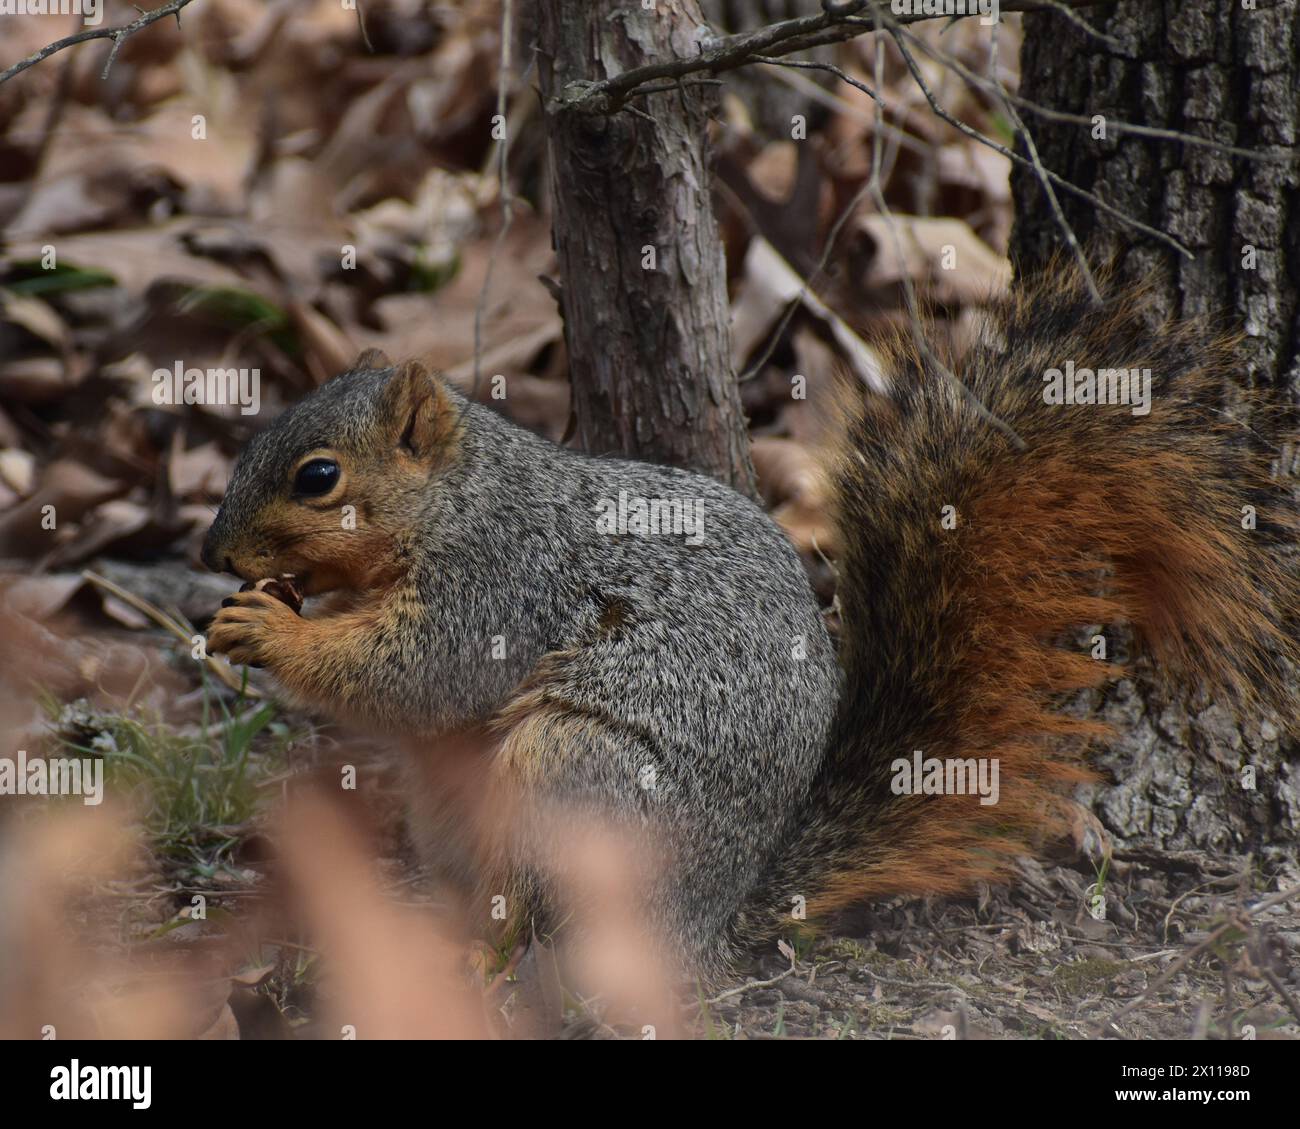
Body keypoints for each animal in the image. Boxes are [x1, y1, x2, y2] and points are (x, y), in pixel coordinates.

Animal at [202, 268, 1298, 980]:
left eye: (318, 476)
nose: (213, 551)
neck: (460, 497)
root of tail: (721, 907)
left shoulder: (499, 582)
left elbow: (419, 671)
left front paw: (271, 632)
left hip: (579, 773)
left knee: (550, 918)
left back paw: (490, 958)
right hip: (455, 812)